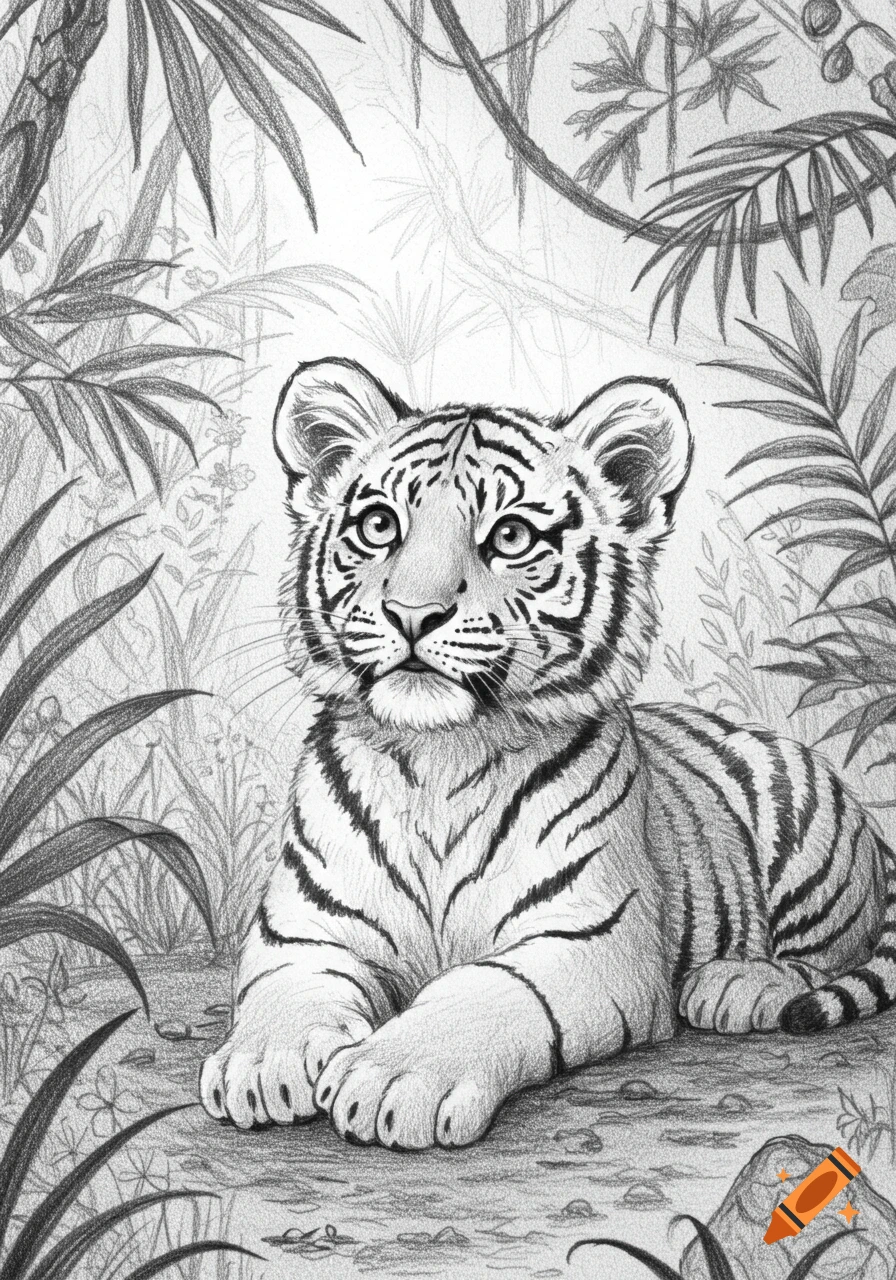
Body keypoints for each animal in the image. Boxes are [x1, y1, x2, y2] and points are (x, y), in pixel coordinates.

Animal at [199, 358, 896, 1150]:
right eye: (379, 526)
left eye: (510, 536)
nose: (411, 614)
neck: (439, 758)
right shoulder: (304, 928)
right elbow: (285, 992)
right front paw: (261, 1062)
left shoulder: (587, 939)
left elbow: (486, 989)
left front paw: (395, 1077)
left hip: (804, 830)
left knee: (825, 957)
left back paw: (737, 984)